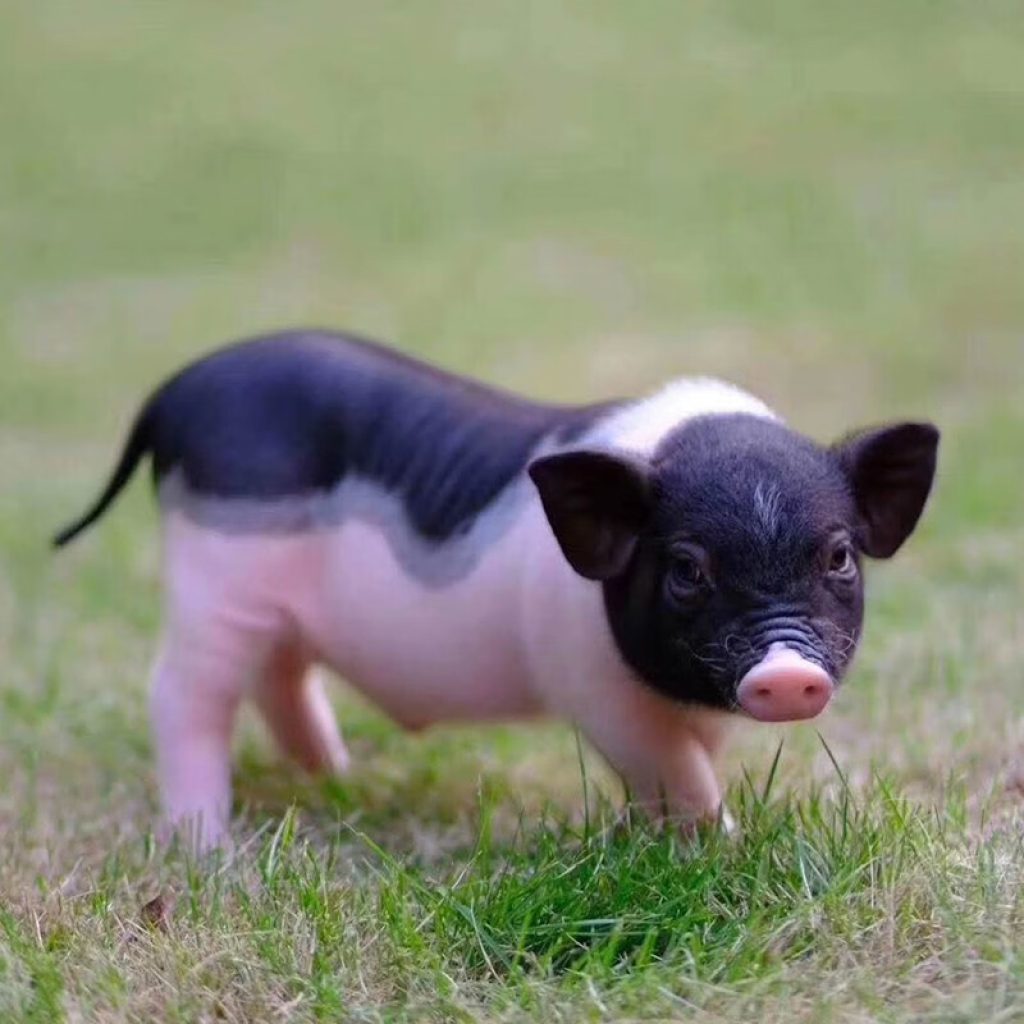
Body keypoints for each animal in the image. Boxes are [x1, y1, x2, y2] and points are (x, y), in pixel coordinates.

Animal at [54, 330, 939, 848]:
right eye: (689, 568)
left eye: (838, 556)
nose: (787, 674)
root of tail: (177, 388)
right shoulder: (592, 687)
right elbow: (675, 771)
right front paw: (722, 848)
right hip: (214, 580)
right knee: (182, 692)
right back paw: (208, 848)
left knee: (281, 675)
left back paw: (334, 776)